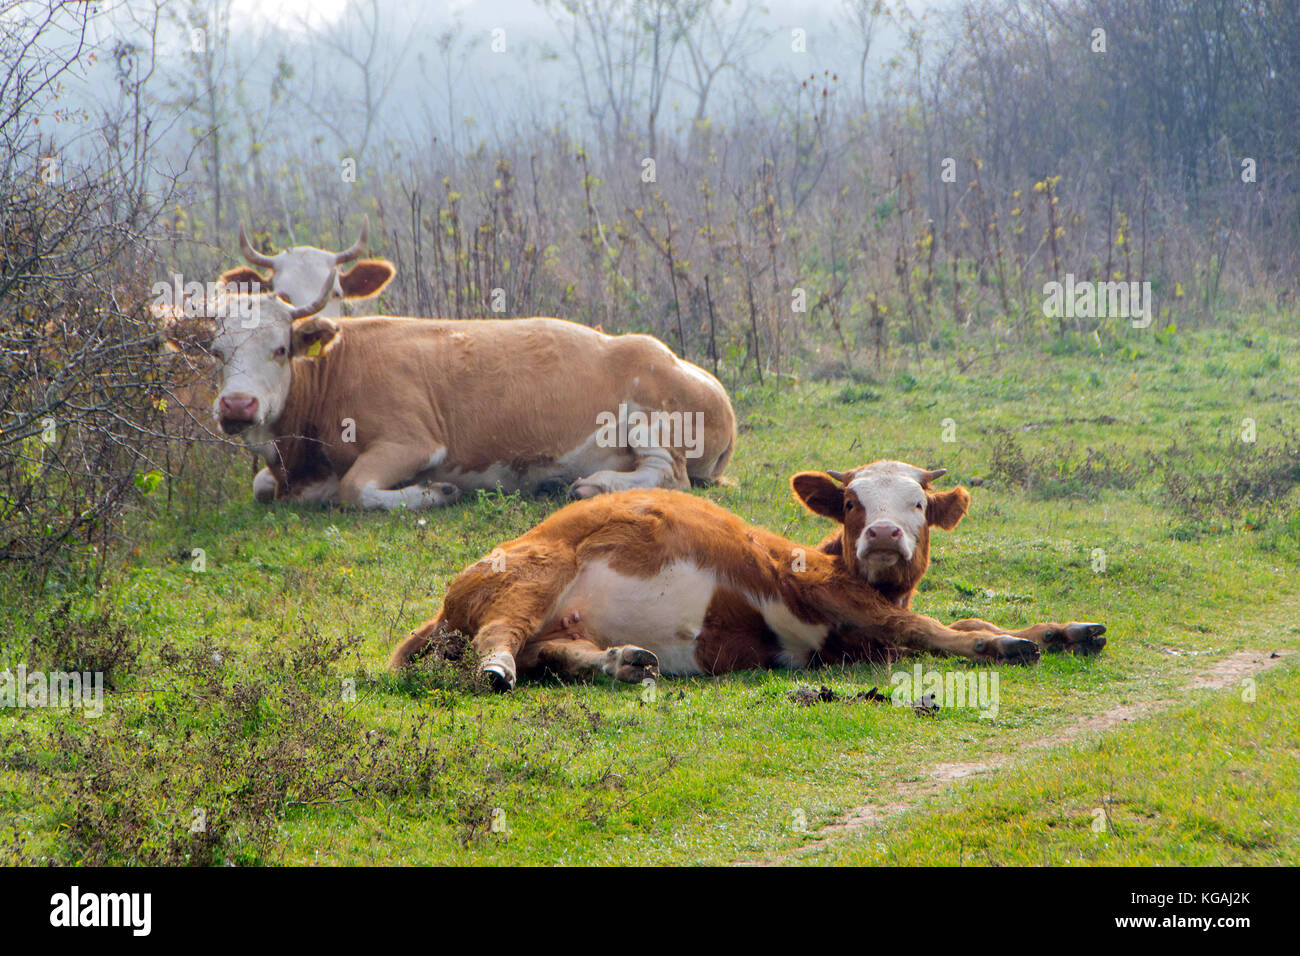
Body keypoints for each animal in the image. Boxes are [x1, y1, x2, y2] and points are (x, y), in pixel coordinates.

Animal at [201, 272, 737, 509]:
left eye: (280, 349)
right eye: (215, 351)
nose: (237, 405)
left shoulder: (413, 441)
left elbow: (355, 489)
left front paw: (435, 491)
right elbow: (262, 486)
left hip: (651, 414)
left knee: (670, 476)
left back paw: (592, 485)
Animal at [390, 460, 1106, 690]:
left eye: (919, 505)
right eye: (853, 503)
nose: (883, 535)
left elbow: (961, 614)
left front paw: (1066, 629)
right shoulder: (828, 596)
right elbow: (933, 627)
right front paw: (1007, 643)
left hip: (559, 622)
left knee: (554, 652)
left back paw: (624, 661)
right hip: (534, 571)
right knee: (501, 639)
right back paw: (496, 669)